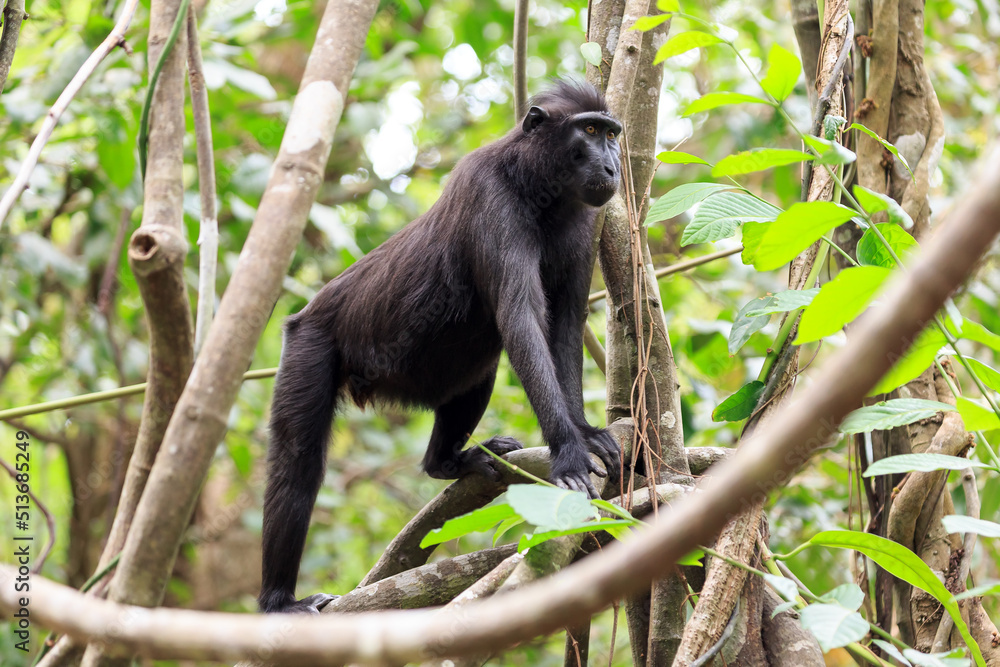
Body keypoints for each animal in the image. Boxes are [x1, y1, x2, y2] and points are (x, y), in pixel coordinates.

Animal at [259, 80, 623, 614]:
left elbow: (563, 329)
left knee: (477, 374)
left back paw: (448, 461)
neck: (535, 184)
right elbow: (521, 320)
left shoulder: (583, 224)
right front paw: (569, 453)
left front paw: (585, 432)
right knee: (297, 466)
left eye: (613, 133)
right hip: (307, 345)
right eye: (591, 131)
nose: (613, 166)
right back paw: (278, 601)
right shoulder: (490, 198)